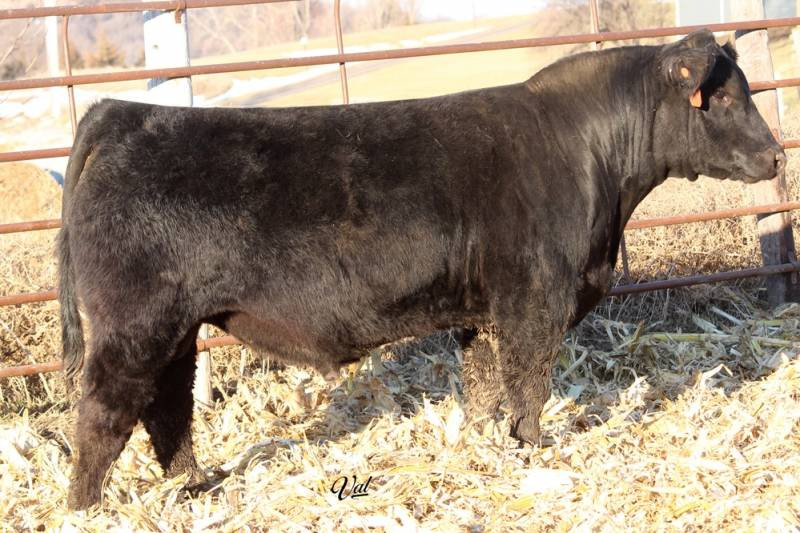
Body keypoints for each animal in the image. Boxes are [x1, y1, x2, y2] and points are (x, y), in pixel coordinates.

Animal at [59, 29, 785, 509]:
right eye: (721, 100)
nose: (778, 156)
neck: (593, 164)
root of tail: (124, 112)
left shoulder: (484, 313)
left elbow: (485, 388)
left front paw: (488, 448)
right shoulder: (535, 300)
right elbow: (527, 385)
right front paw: (532, 450)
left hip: (174, 329)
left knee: (168, 407)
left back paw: (195, 483)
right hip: (134, 324)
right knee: (103, 415)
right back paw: (88, 508)